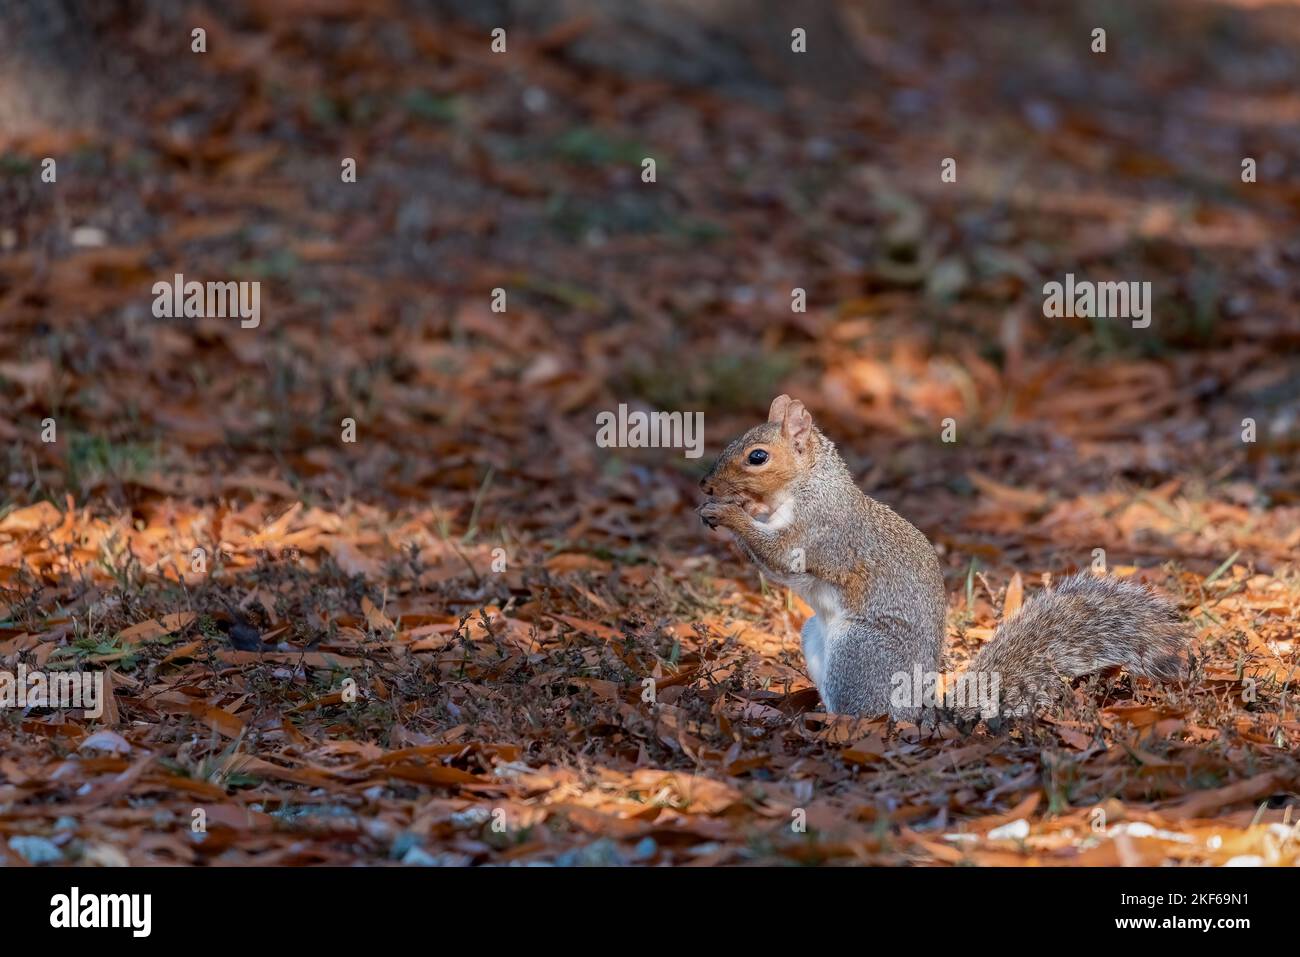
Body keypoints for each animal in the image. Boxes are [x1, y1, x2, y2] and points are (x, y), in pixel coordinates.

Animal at [697, 394, 1192, 720]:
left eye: (757, 456)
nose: (706, 485)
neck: (804, 487)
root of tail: (920, 707)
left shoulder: (823, 532)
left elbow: (783, 556)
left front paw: (728, 513)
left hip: (860, 653)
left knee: (865, 711)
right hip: (815, 637)